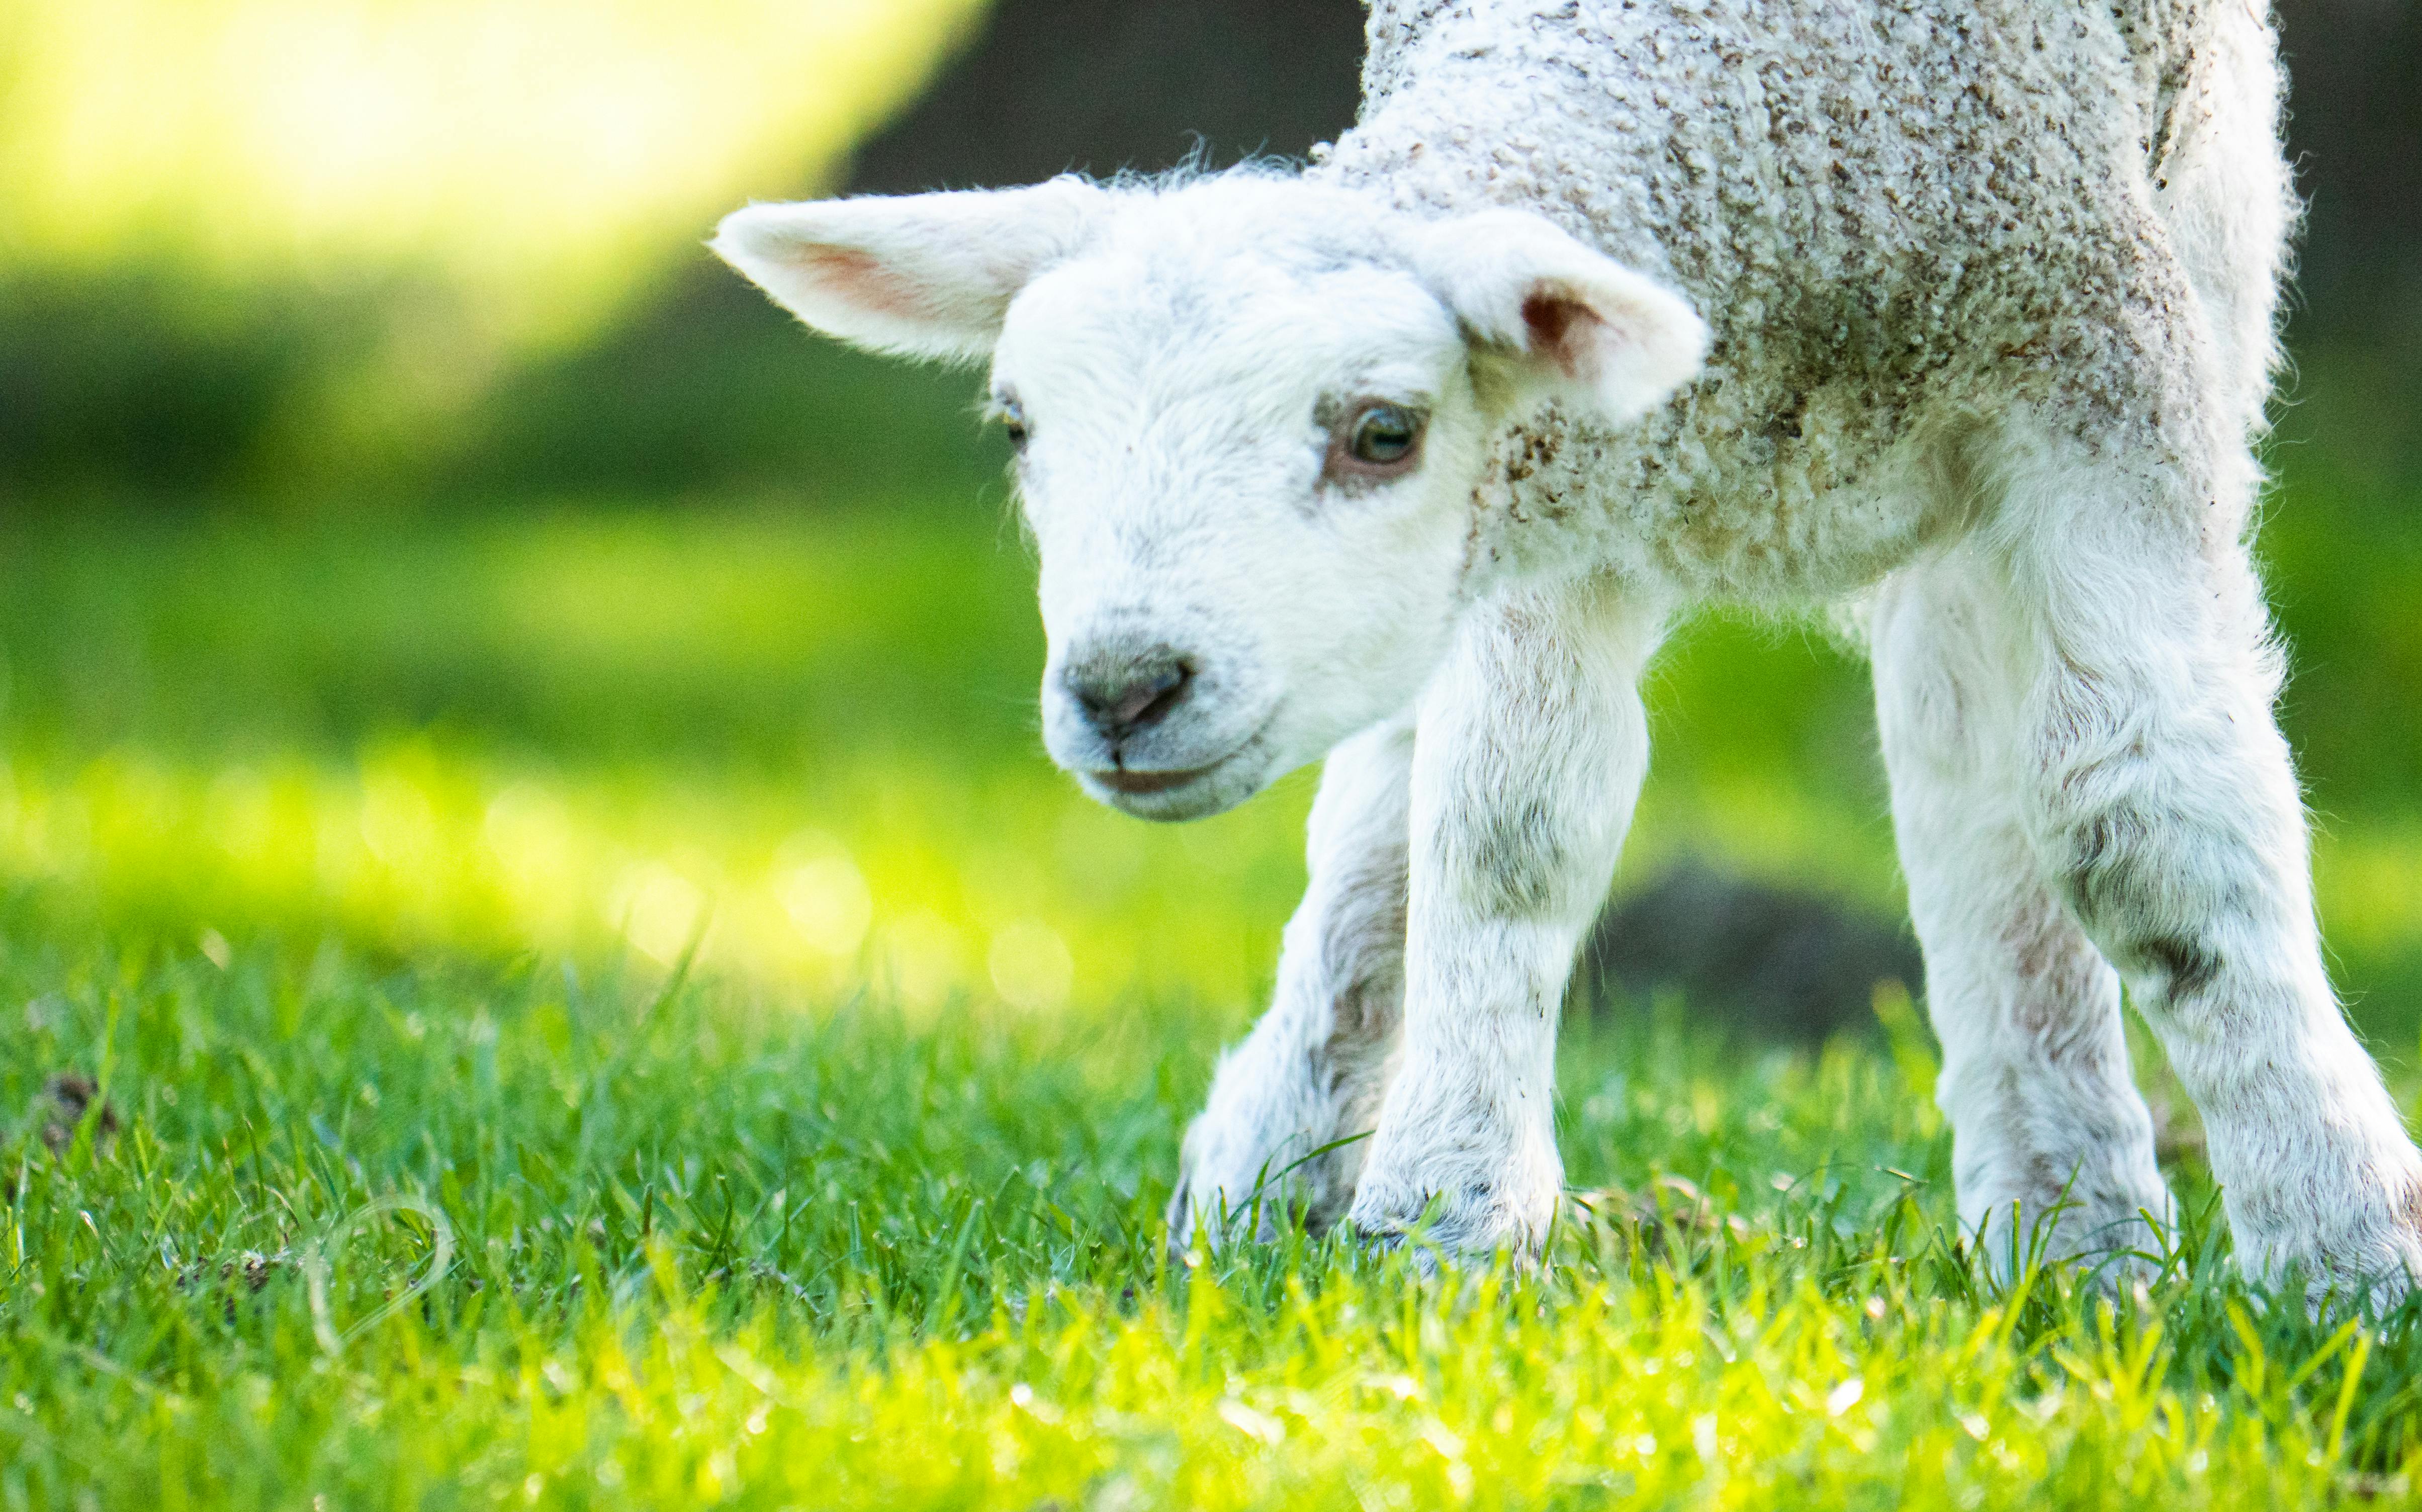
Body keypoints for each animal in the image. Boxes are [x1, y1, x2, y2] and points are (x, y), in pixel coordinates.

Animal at [713, 0, 2422, 1304]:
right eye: (1017, 427)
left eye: (1382, 432)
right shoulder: (1563, 488)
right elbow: (1502, 829)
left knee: (1973, 766)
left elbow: (2154, 825)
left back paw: (2071, 1232)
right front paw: (1443, 1223)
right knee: (1400, 812)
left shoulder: (2089, 376)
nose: (1124, 687)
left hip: (2177, 263)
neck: (1788, 108)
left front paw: (2343, 1254)